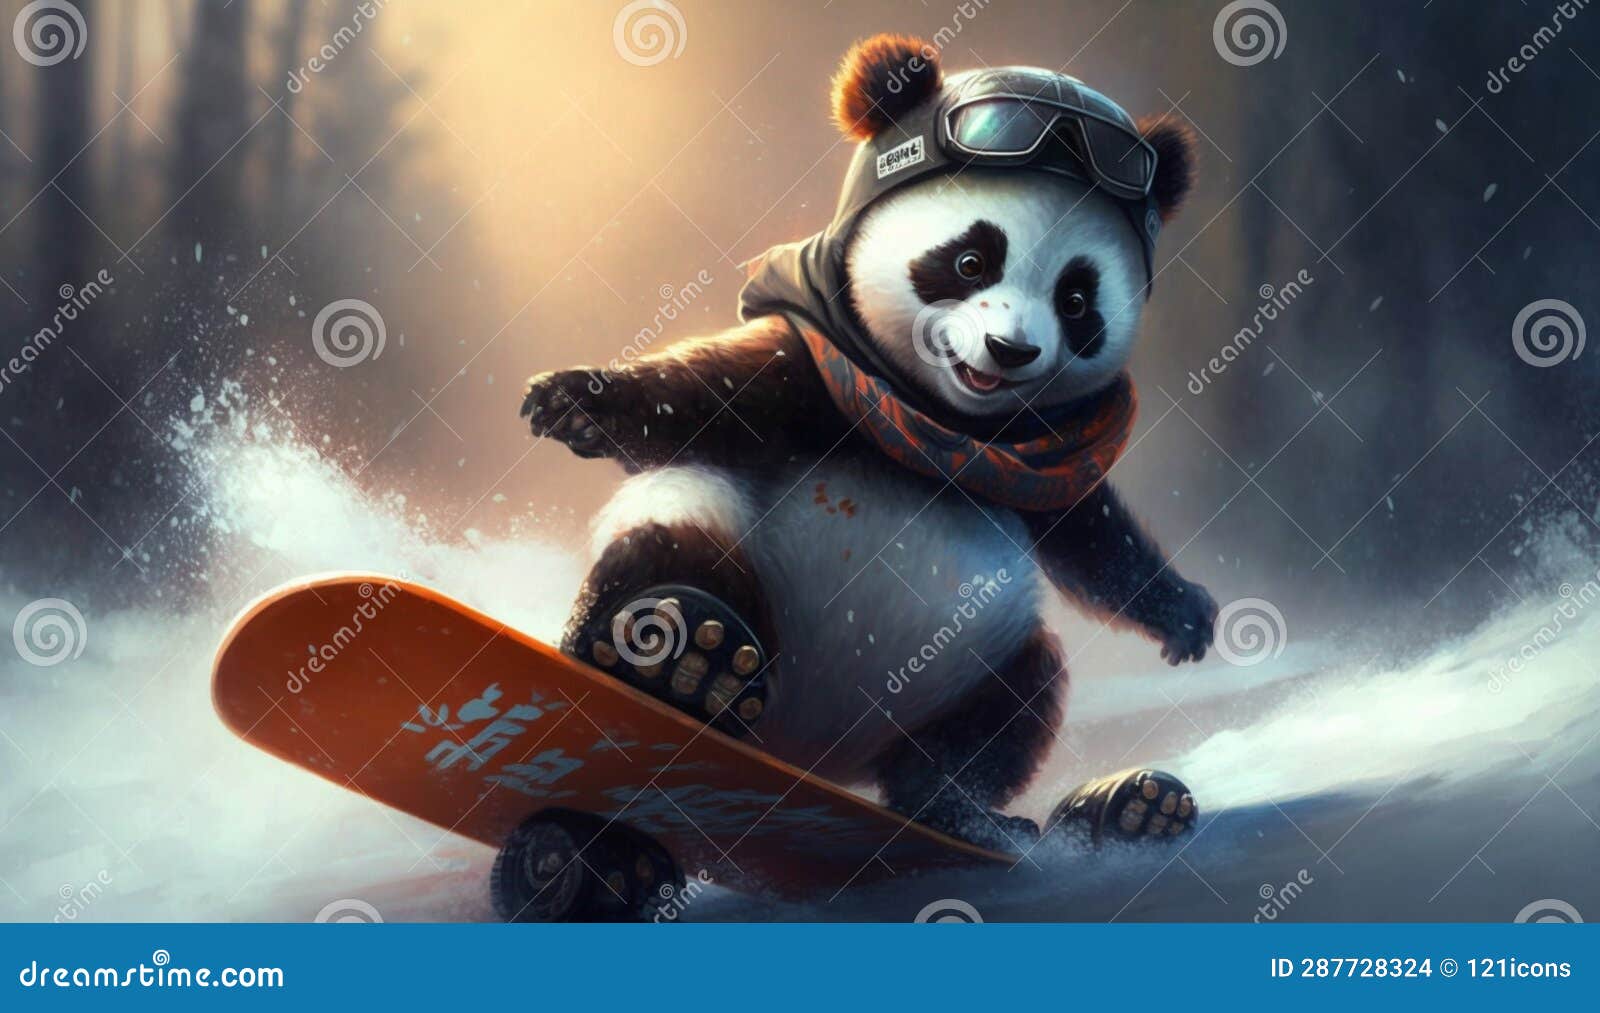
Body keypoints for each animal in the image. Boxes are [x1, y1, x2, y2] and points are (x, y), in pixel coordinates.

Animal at [520, 34, 1217, 852]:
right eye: (970, 261)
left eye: (1077, 299)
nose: (1009, 351)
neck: (938, 426)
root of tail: (805, 755)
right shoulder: (817, 368)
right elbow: (699, 398)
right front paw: (574, 399)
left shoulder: (1034, 459)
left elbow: (1091, 539)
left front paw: (1184, 614)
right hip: (734, 559)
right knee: (665, 551)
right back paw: (685, 664)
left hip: (966, 663)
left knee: (1010, 702)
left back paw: (972, 809)